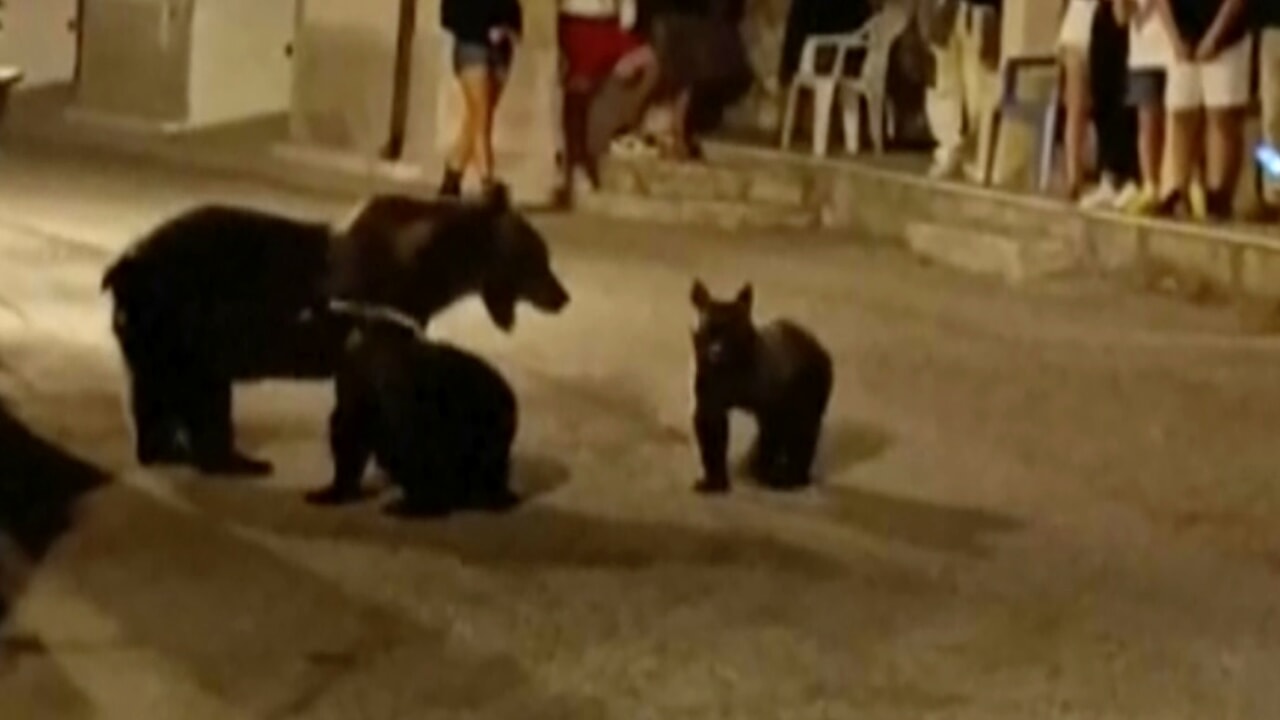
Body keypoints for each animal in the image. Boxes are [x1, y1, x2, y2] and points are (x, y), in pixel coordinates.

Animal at [101, 183, 567, 477]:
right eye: (540, 257)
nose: (564, 296)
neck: (433, 267)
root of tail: (124, 267)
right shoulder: (380, 308)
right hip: (186, 318)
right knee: (198, 394)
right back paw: (232, 460)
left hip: (165, 333)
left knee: (158, 392)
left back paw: (169, 449)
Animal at [688, 279, 833, 494]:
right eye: (708, 331)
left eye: (731, 331)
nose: (716, 353)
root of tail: (820, 348)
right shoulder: (710, 398)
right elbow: (712, 437)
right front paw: (714, 481)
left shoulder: (774, 398)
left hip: (807, 396)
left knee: (803, 433)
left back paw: (790, 477)